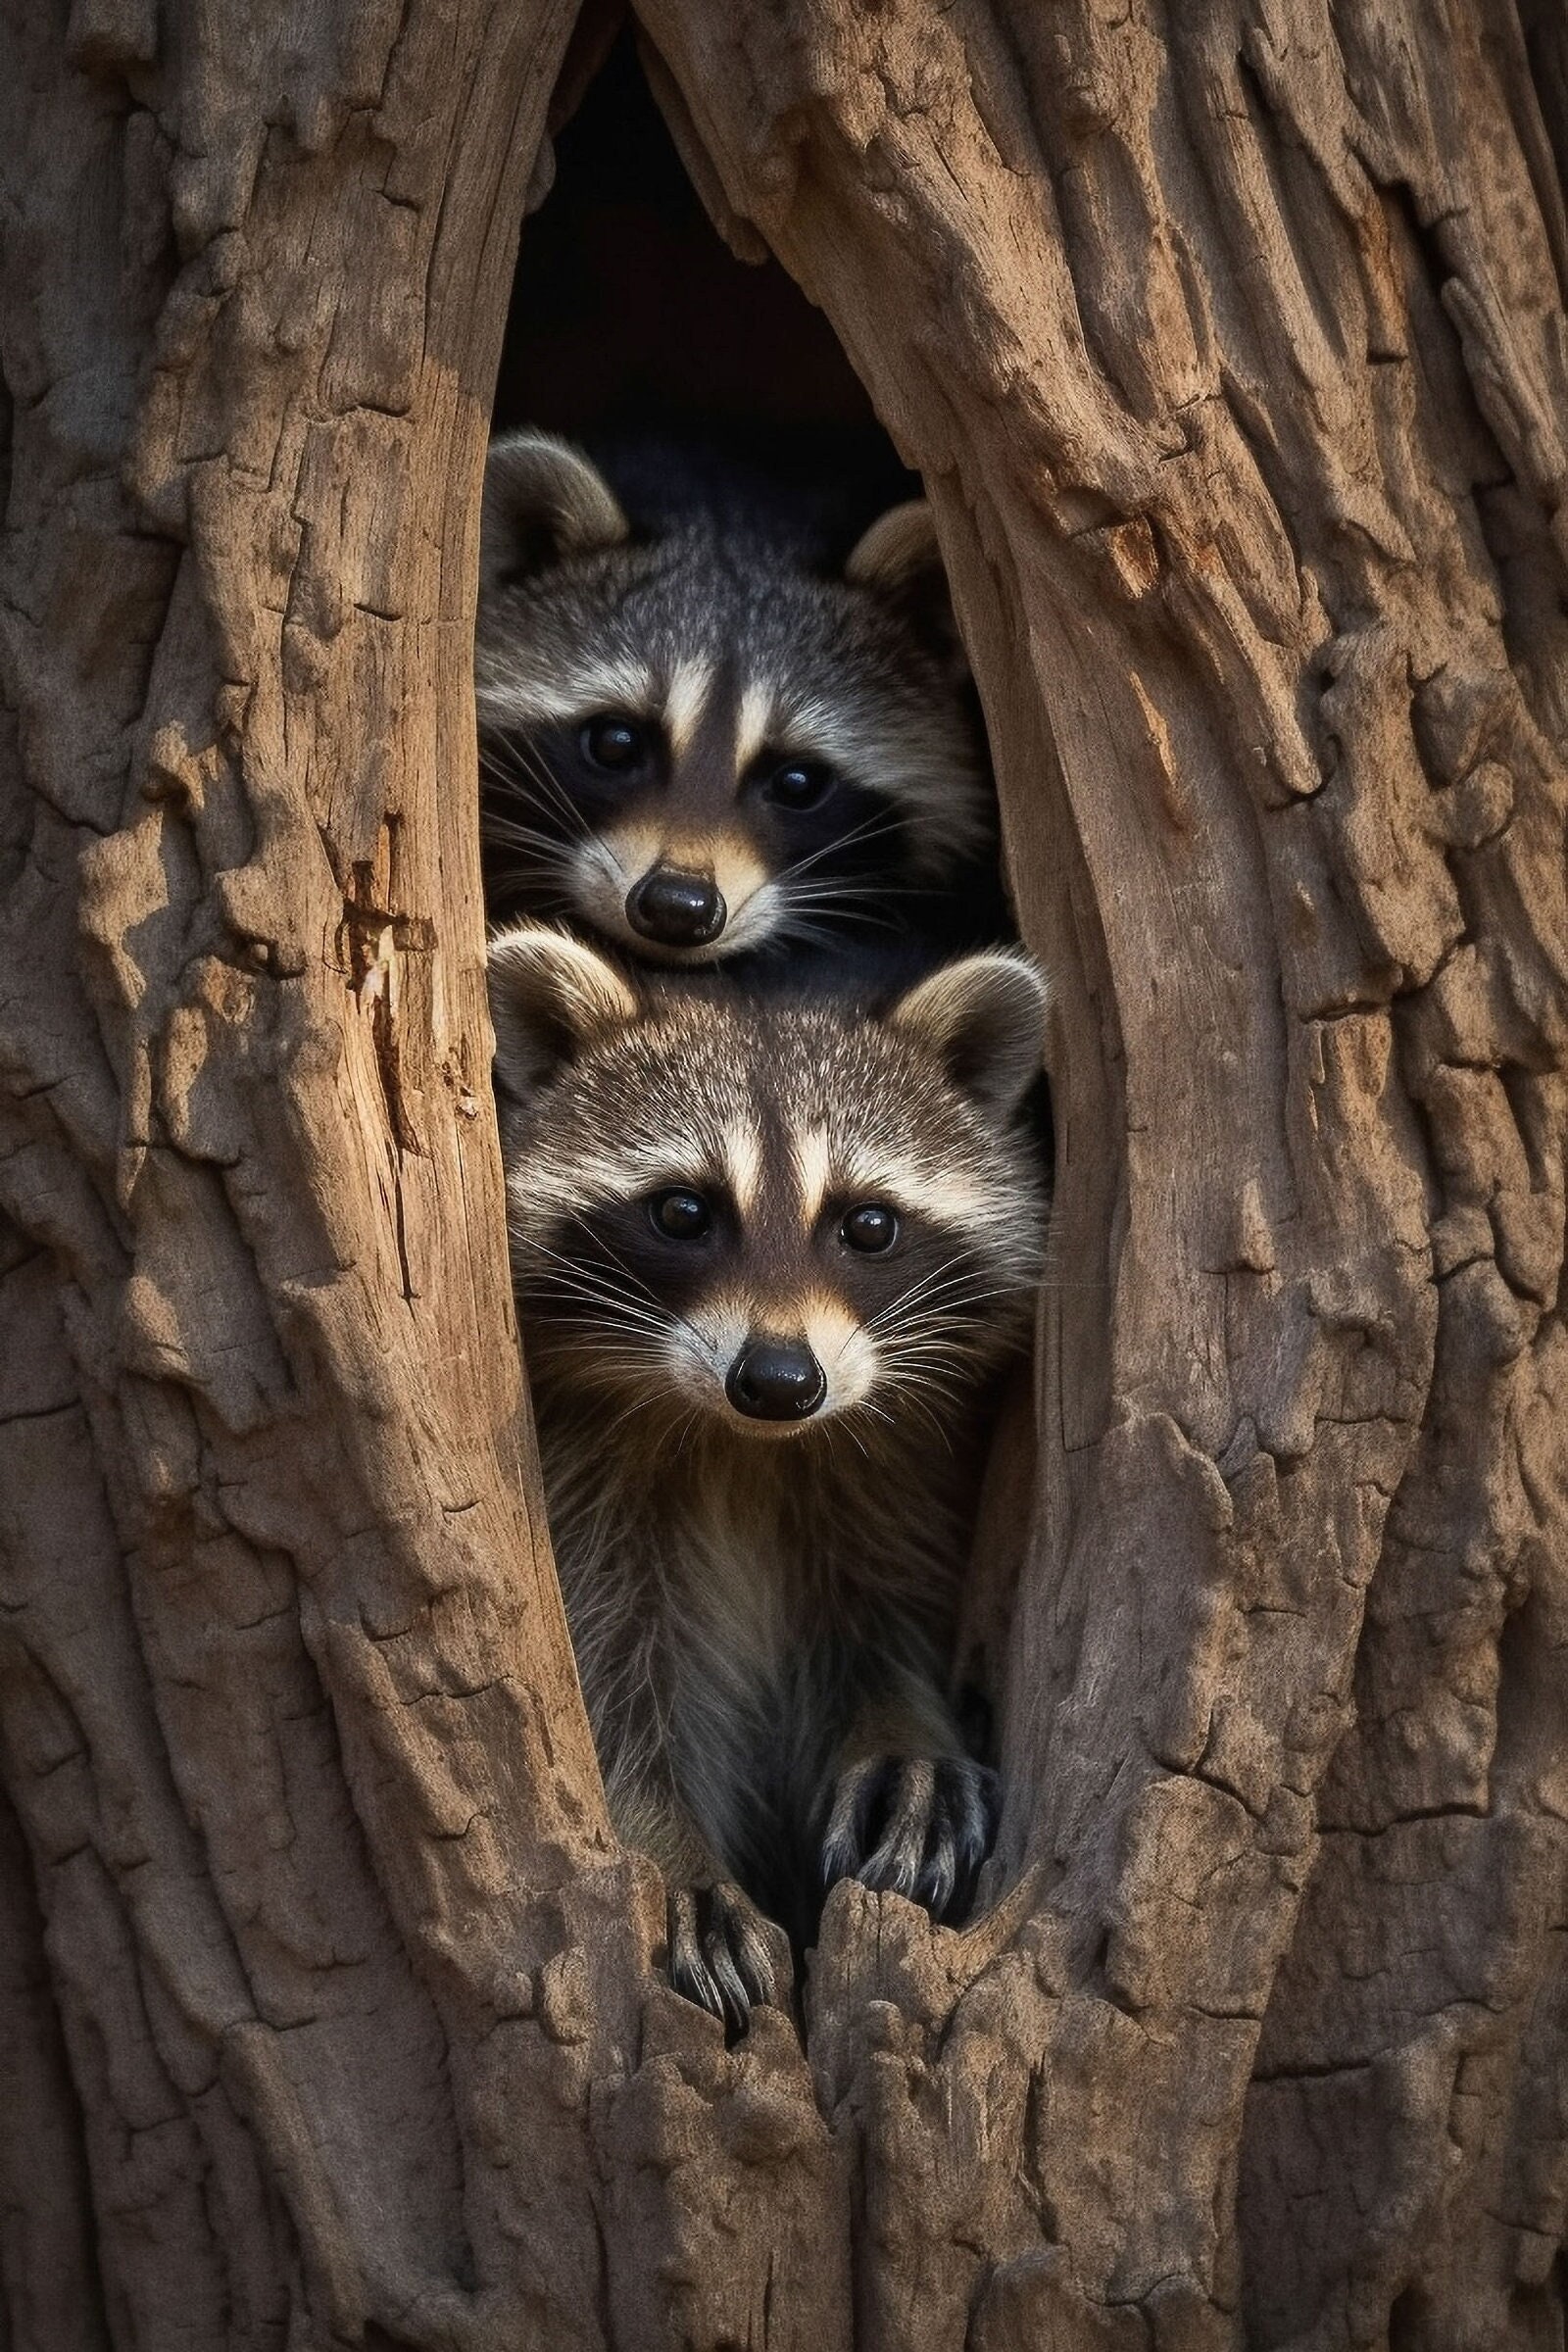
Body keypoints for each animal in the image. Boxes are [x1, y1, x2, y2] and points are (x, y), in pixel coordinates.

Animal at [488, 922, 1047, 2029]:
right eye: (681, 1211)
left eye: (867, 1225)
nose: (780, 1381)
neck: (744, 1450)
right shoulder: (583, 1484)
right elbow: (608, 1681)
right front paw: (670, 1855)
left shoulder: (900, 1469)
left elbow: (892, 1609)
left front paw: (903, 1723)